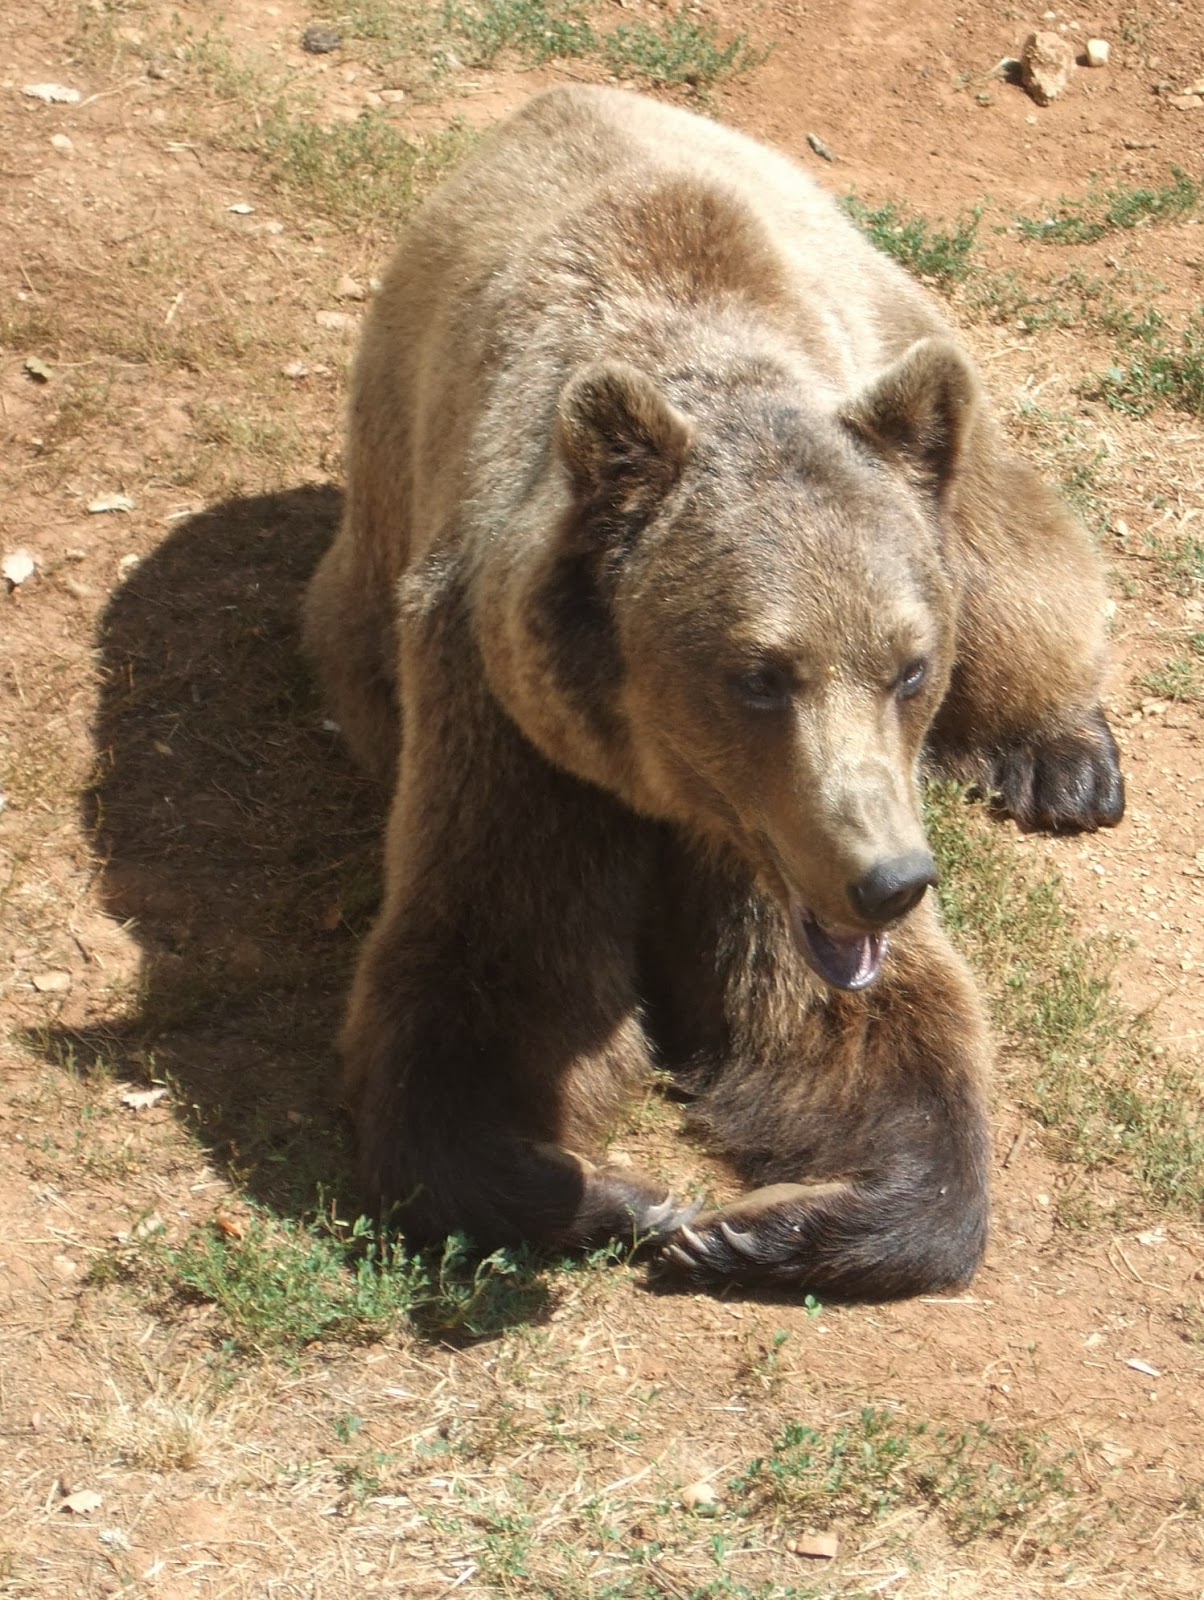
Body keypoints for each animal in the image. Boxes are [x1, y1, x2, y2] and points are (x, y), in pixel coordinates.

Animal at [302, 86, 1124, 1300]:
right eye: (757, 674)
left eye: (909, 666)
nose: (890, 880)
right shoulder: (506, 723)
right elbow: (485, 970)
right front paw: (619, 1198)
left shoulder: (777, 837)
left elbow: (851, 1017)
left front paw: (778, 1219)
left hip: (918, 383)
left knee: (1011, 543)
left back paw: (1062, 759)